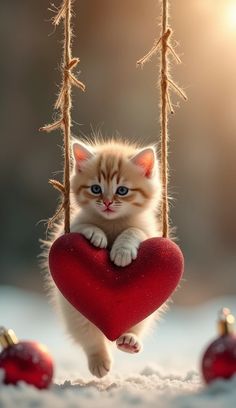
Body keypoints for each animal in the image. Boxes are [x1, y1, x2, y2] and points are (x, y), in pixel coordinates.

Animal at [42, 139, 164, 378]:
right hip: (75, 311)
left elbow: (135, 230)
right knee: (90, 338)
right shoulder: (66, 230)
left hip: (142, 312)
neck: (113, 222)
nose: (107, 203)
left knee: (134, 325)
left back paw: (129, 341)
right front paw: (96, 234)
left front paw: (122, 252)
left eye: (122, 190)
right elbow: (83, 226)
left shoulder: (149, 232)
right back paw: (99, 361)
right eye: (95, 189)